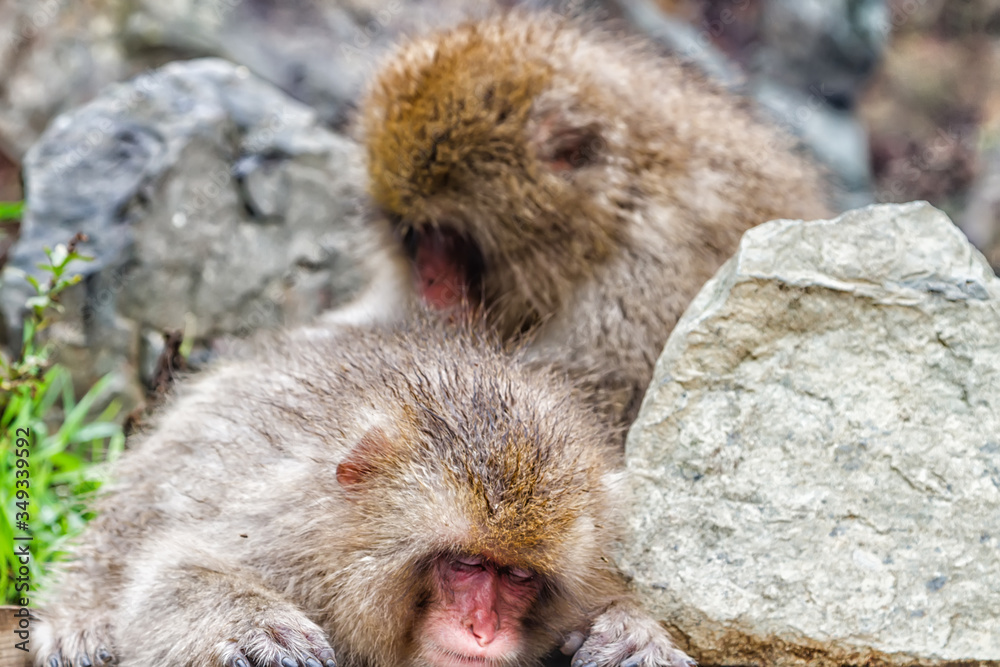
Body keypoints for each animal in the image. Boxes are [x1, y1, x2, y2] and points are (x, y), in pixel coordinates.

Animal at [34, 317, 695, 667]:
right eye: (466, 564)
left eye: (518, 576)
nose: (483, 631)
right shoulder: (289, 544)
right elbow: (172, 573)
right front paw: (249, 629)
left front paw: (633, 638)